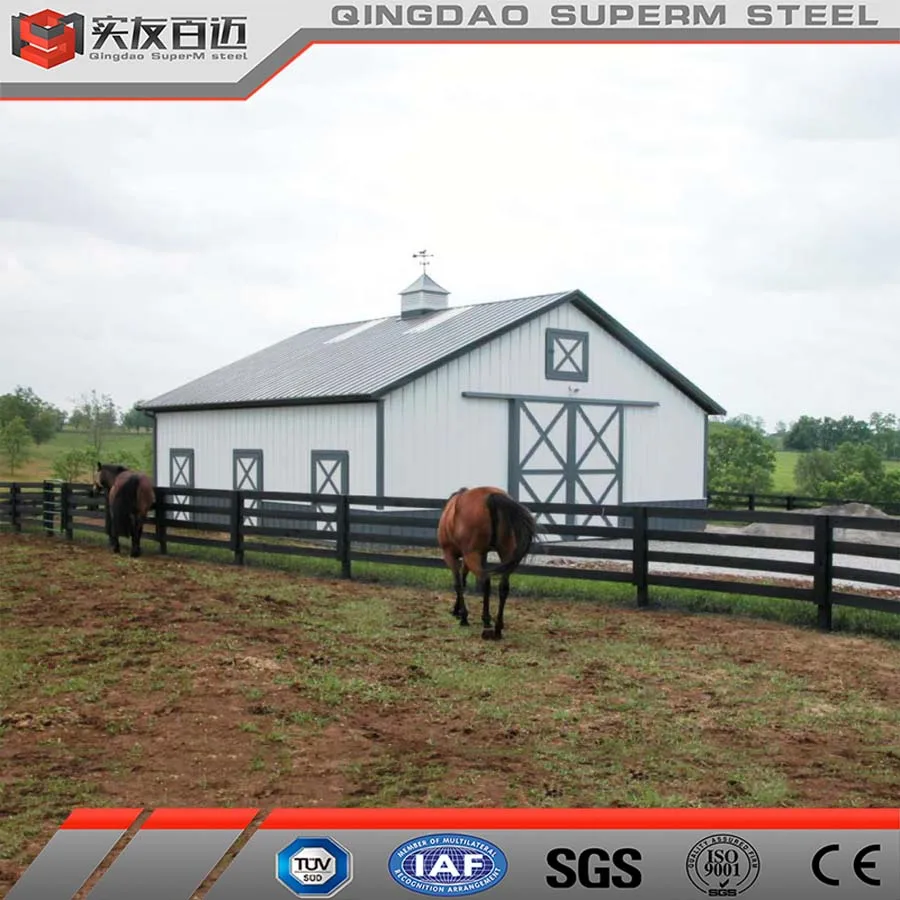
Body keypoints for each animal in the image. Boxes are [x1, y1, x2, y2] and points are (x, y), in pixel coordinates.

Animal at [437, 485, 538, 640]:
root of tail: (492, 496)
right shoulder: (475, 557)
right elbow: (463, 581)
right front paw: (457, 610)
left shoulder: (451, 556)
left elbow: (458, 584)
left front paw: (463, 615)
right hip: (504, 553)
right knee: (502, 587)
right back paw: (497, 626)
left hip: (472, 556)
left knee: (485, 580)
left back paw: (485, 624)